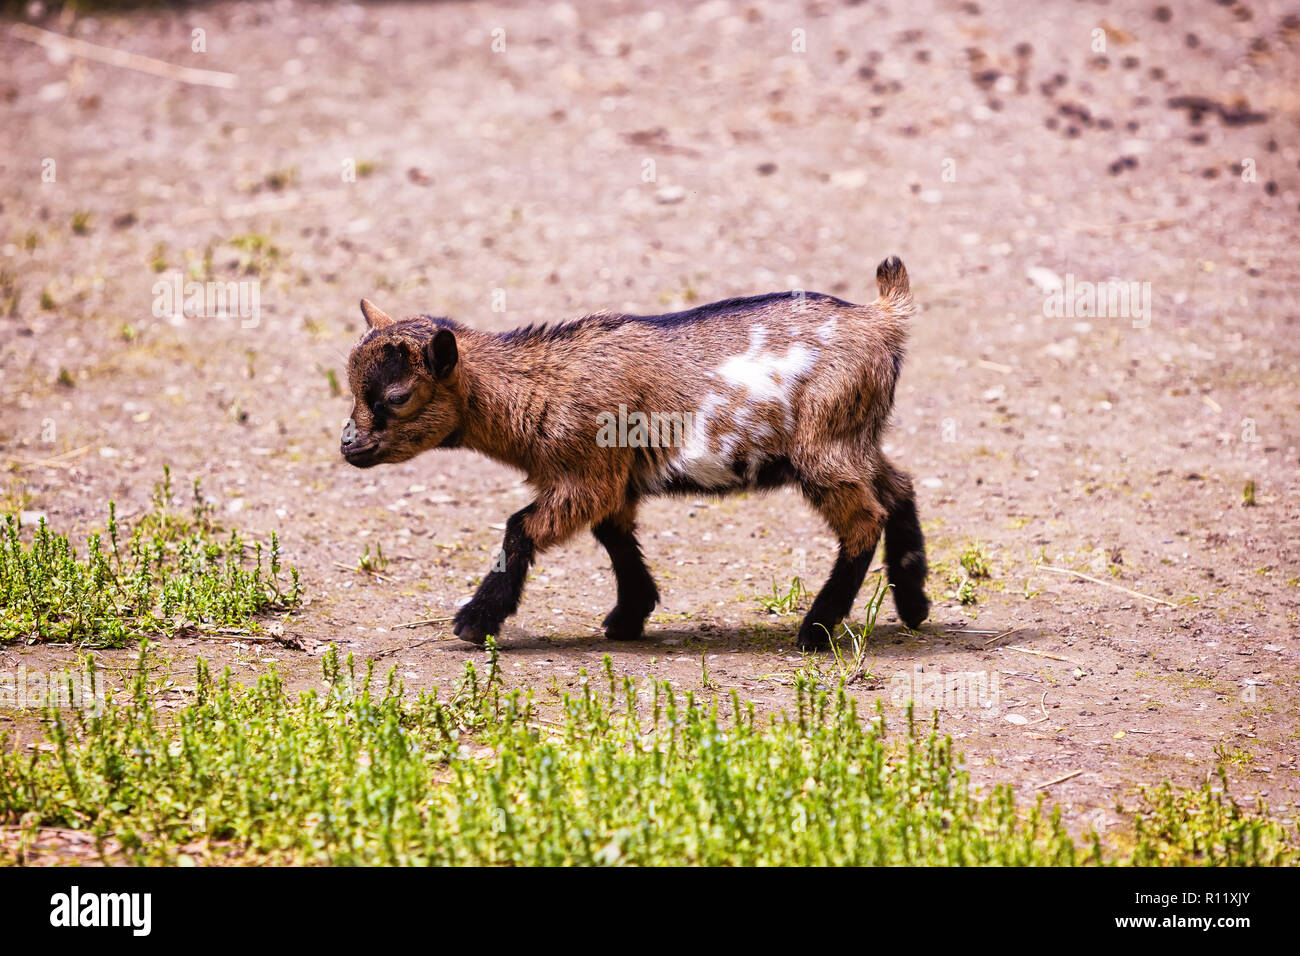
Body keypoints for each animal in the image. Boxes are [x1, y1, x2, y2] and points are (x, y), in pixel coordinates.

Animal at [341, 256, 929, 649]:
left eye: (397, 396)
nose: (348, 444)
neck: (536, 386)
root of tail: (882, 319)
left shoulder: (587, 473)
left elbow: (520, 527)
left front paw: (475, 622)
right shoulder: (611, 479)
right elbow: (613, 535)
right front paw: (629, 616)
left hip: (822, 443)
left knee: (864, 519)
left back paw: (817, 630)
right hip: (854, 435)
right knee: (898, 487)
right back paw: (914, 603)